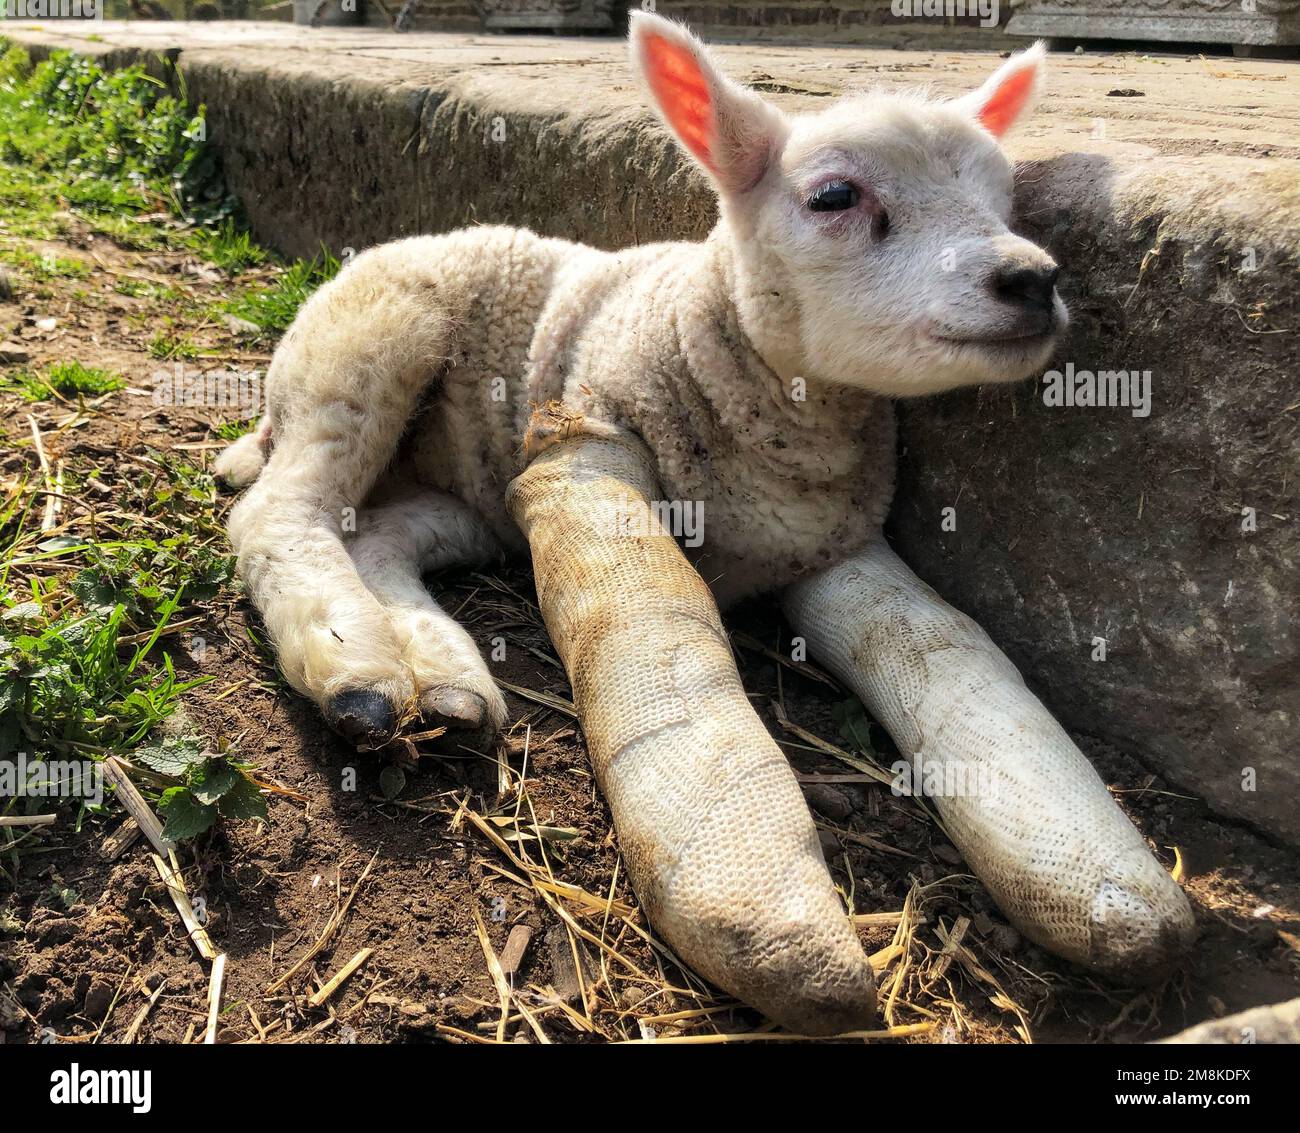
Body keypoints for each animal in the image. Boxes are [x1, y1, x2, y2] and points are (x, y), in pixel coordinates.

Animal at [217, 12, 1195, 1033]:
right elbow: (660, 637)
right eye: (834, 196)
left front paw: (1106, 887)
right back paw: (356, 676)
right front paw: (770, 905)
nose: (1031, 279)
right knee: (279, 510)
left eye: (1004, 197)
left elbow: (942, 644)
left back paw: (445, 686)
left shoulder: (831, 538)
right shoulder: (582, 444)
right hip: (369, 340)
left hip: (467, 481)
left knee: (376, 532)